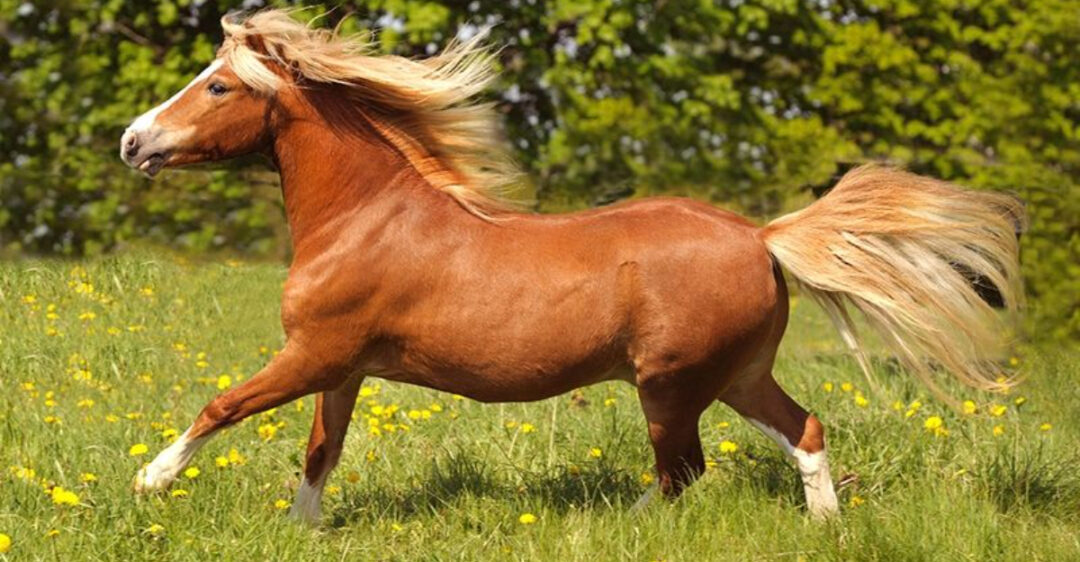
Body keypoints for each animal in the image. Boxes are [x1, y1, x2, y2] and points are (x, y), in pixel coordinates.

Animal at [118, 10, 1024, 524]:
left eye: (220, 87)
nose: (132, 141)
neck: (366, 219)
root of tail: (761, 236)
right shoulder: (341, 369)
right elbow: (319, 452)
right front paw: (301, 529)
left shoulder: (314, 354)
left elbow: (222, 405)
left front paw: (149, 482)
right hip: (734, 375)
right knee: (803, 432)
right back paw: (824, 528)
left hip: (671, 386)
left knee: (681, 473)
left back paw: (623, 526)